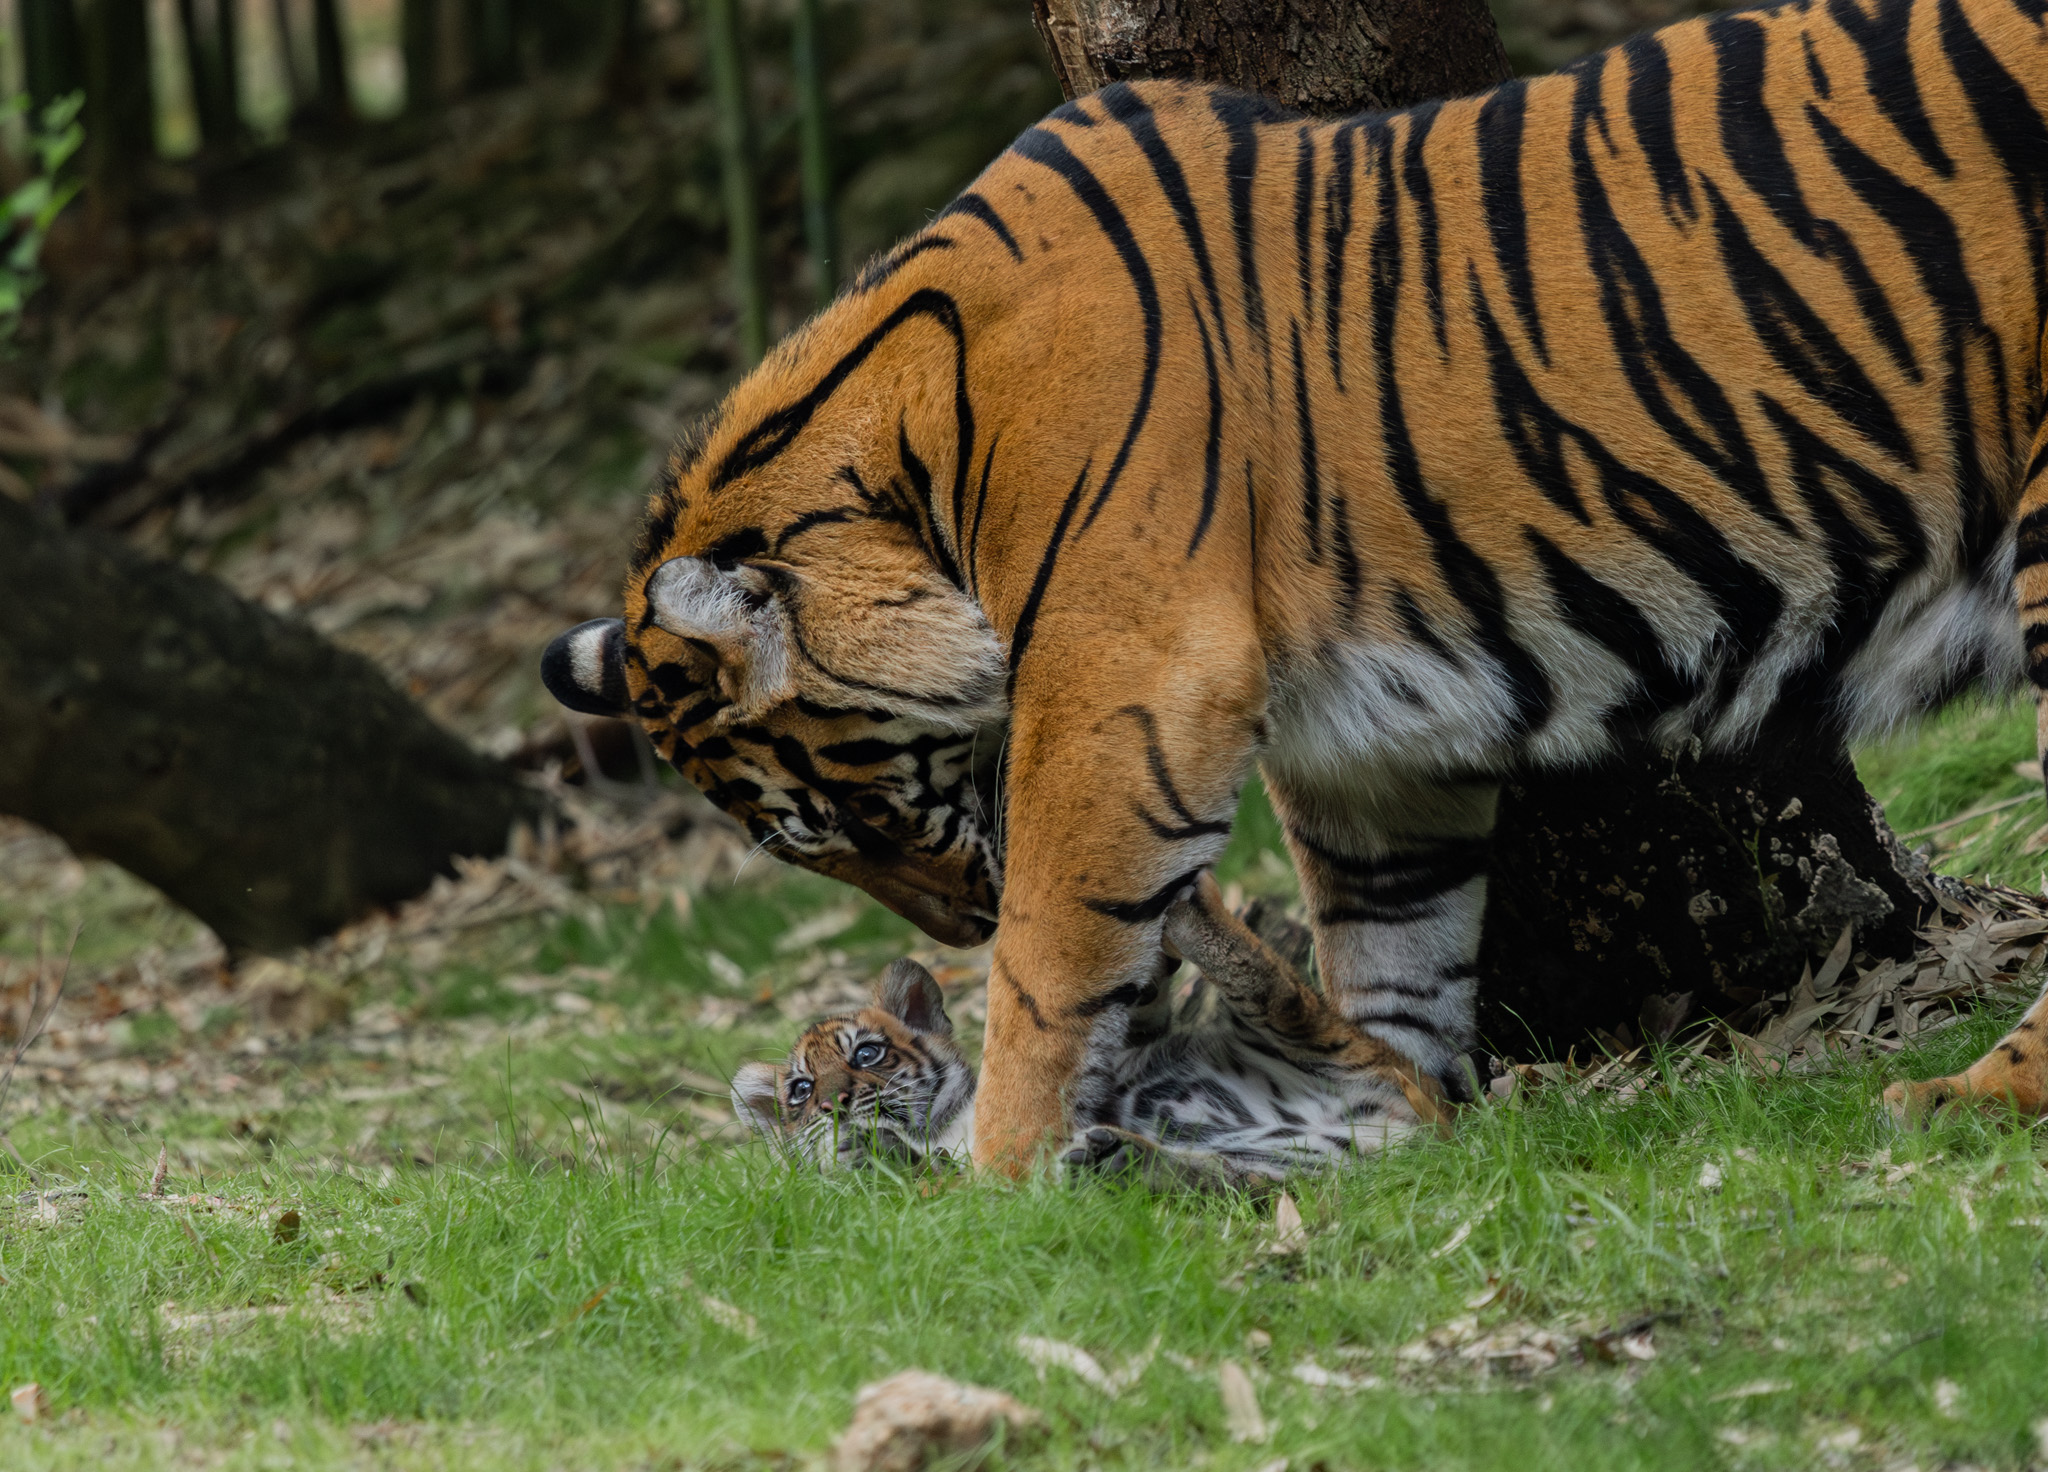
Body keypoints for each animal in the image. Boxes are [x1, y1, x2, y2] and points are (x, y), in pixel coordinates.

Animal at [729, 874, 1448, 1188]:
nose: (833, 1106)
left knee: (1278, 991)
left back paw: (1187, 905)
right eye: (799, 1092)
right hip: (1302, 1160)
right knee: (1228, 1173)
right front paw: (858, 1151)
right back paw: (1118, 1160)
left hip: (1288, 1042)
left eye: (869, 1053)